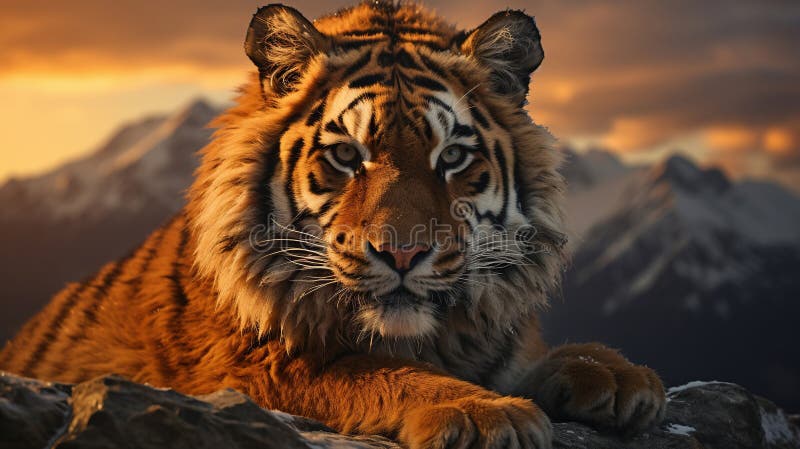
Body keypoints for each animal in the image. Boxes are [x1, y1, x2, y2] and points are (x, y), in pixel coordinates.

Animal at [0, 2, 666, 448]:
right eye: (347, 155)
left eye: (452, 157)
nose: (403, 254)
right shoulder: (251, 369)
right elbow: (378, 373)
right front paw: (488, 414)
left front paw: (616, 375)